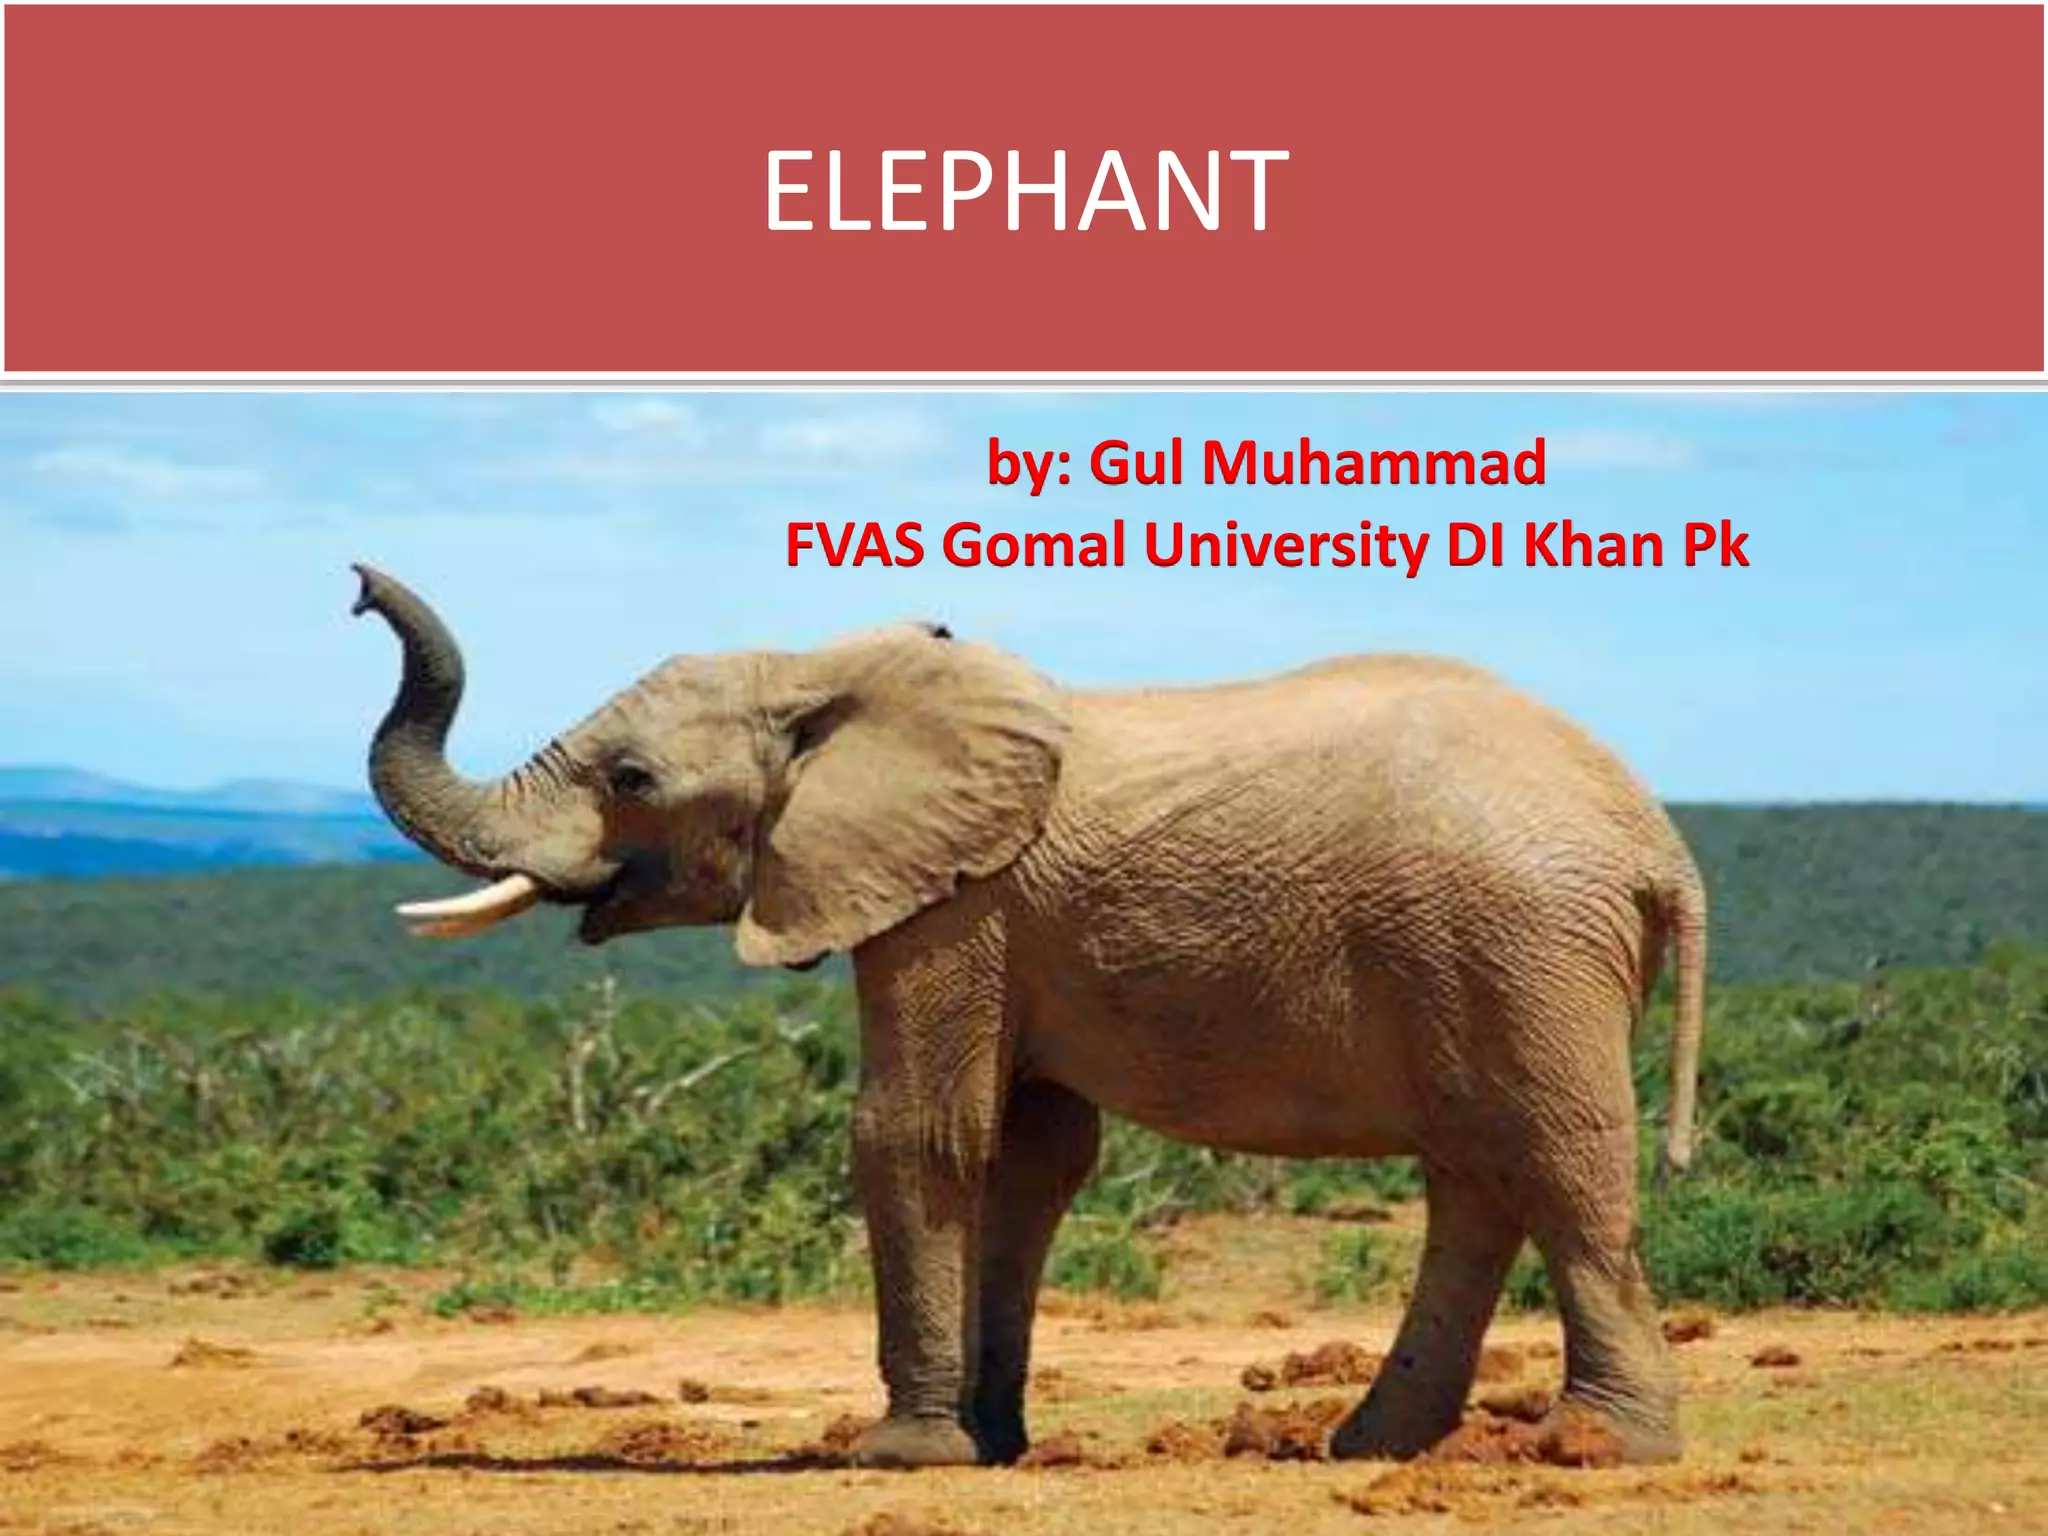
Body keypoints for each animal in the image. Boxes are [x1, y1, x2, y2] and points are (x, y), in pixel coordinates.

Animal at [348, 563, 1708, 1470]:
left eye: (631, 780)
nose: (358, 590)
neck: (823, 674)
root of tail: (1657, 843)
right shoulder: (998, 918)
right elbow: (1027, 1156)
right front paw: (986, 1445)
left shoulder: (954, 902)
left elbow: (915, 1132)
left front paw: (898, 1457)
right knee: (1474, 1172)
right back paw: (1367, 1447)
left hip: (1519, 945)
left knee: (1549, 1156)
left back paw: (1593, 1450)